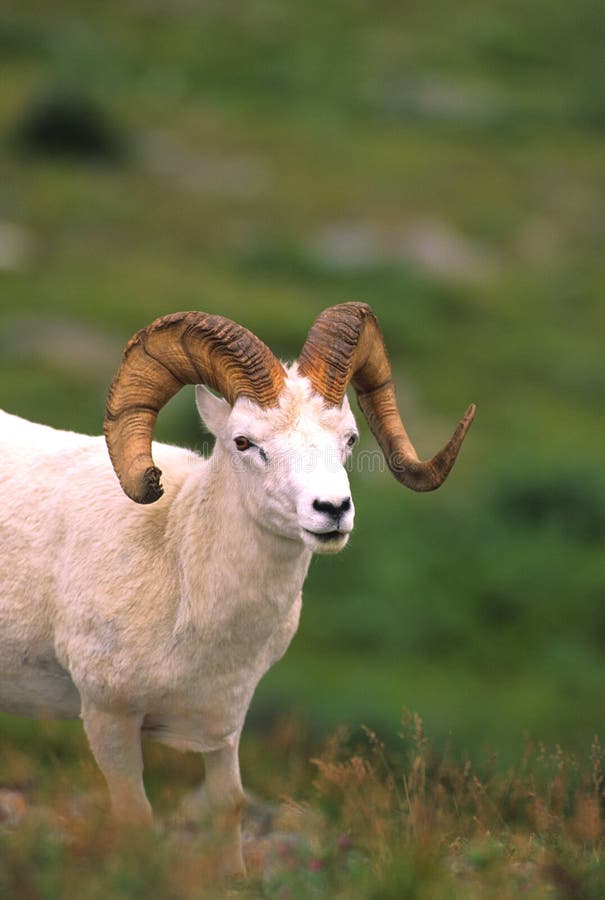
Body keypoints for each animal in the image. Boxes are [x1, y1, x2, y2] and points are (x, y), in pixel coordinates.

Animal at [0, 302, 474, 875]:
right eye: (245, 442)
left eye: (349, 439)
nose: (333, 510)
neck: (180, 568)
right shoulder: (108, 717)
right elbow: (135, 817)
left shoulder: (225, 722)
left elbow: (229, 807)